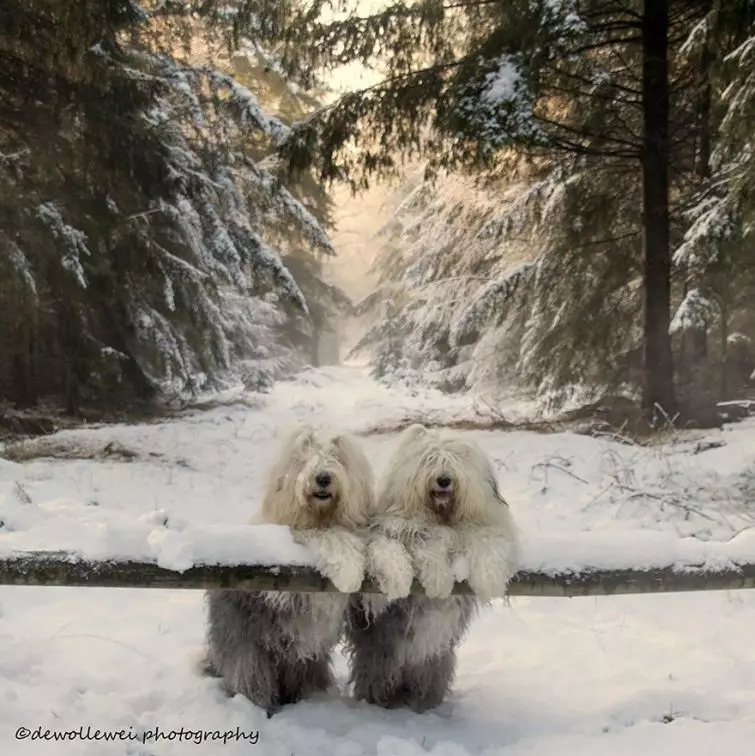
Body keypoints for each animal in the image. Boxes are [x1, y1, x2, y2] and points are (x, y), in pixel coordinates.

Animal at [205, 426, 374, 716]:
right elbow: (326, 540)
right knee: (248, 675)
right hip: (245, 641)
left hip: (304, 659)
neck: (319, 517)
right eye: (303, 458)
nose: (323, 478)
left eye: (336, 456)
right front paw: (348, 569)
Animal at [350, 426, 520, 716]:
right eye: (429, 461)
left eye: (454, 462)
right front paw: (437, 576)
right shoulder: (401, 529)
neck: (442, 518)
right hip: (381, 655)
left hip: (434, 661)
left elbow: (487, 540)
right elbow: (418, 543)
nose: (443, 480)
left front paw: (489, 579)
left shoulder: (481, 527)